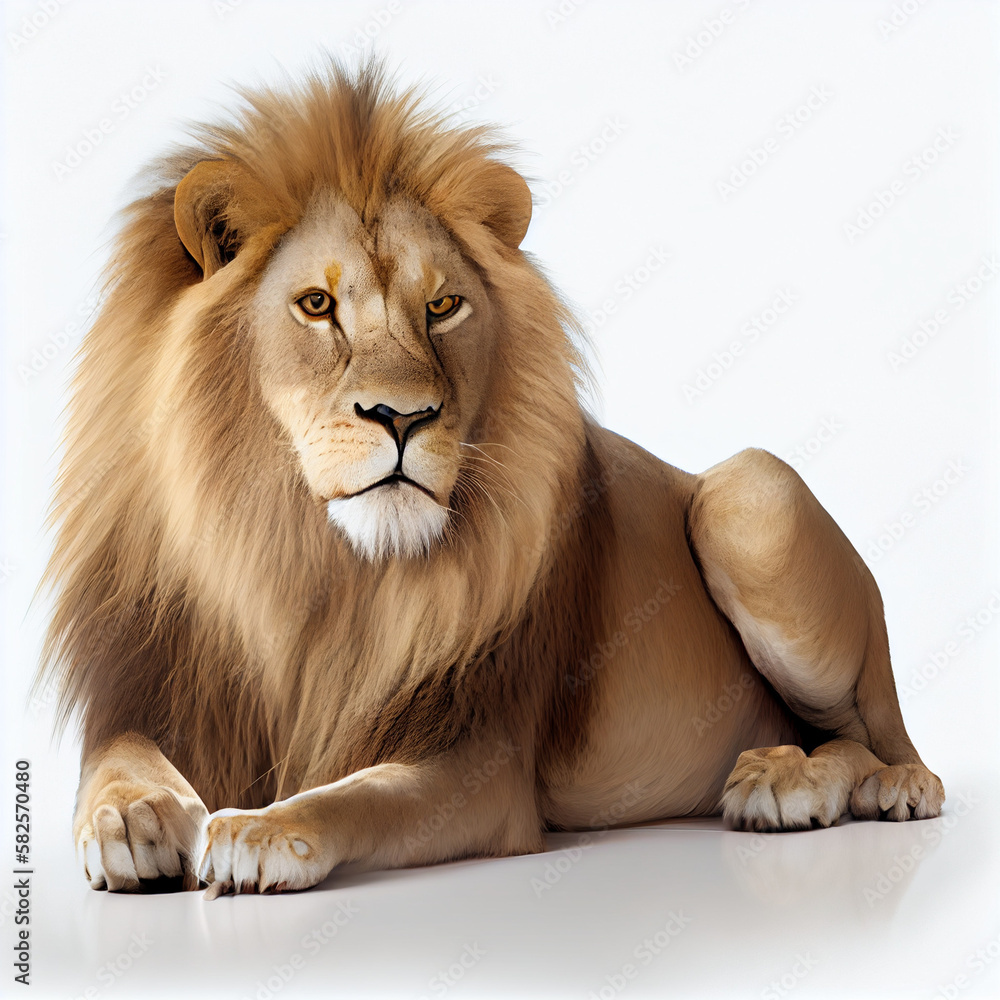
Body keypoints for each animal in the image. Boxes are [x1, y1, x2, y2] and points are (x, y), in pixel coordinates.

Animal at [38, 62, 943, 896]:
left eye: (444, 307)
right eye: (316, 306)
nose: (402, 417)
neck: (310, 567)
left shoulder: (480, 760)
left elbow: (356, 797)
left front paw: (262, 829)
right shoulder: (152, 687)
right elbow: (116, 755)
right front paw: (133, 816)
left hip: (748, 494)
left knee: (874, 739)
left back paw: (801, 782)